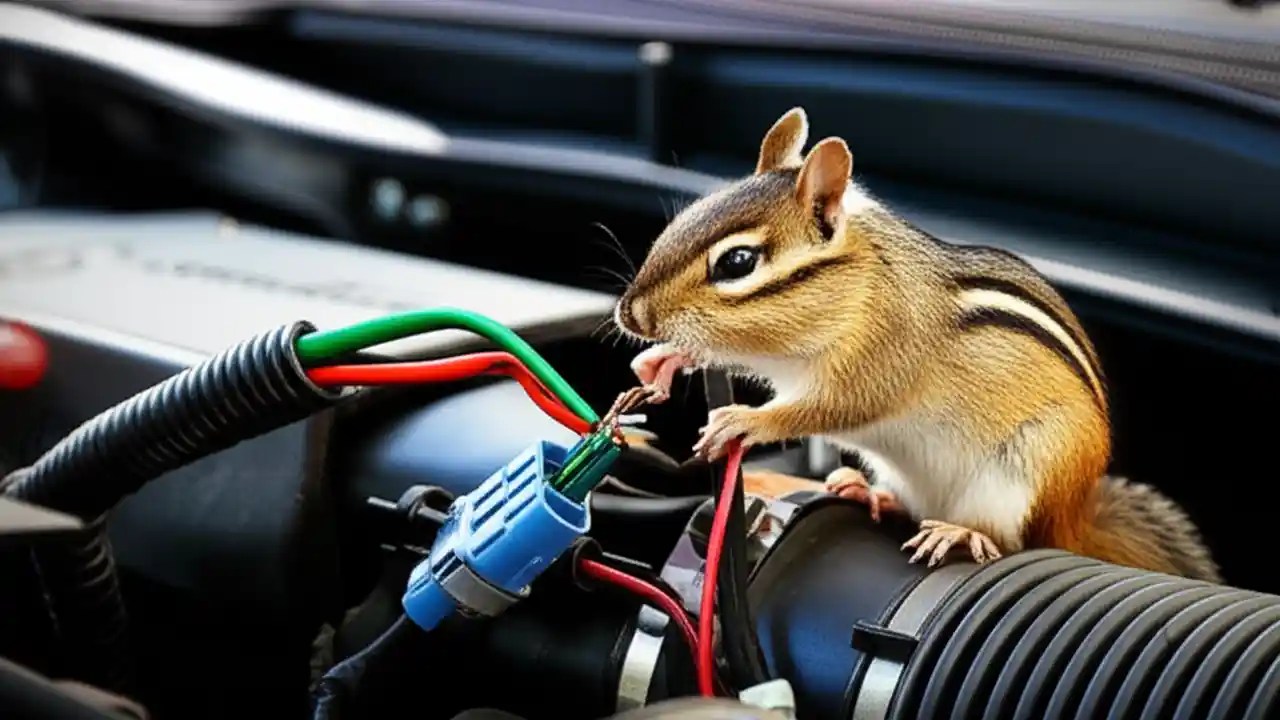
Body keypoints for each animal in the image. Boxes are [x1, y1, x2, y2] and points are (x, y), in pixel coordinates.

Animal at [612, 107, 1221, 583]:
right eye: (686, 217)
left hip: (1021, 475)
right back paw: (865, 491)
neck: (858, 282)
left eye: (737, 263)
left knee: (1007, 540)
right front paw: (660, 361)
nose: (629, 313)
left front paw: (742, 420)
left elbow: (831, 406)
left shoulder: (884, 353)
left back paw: (957, 533)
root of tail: (1071, 517)